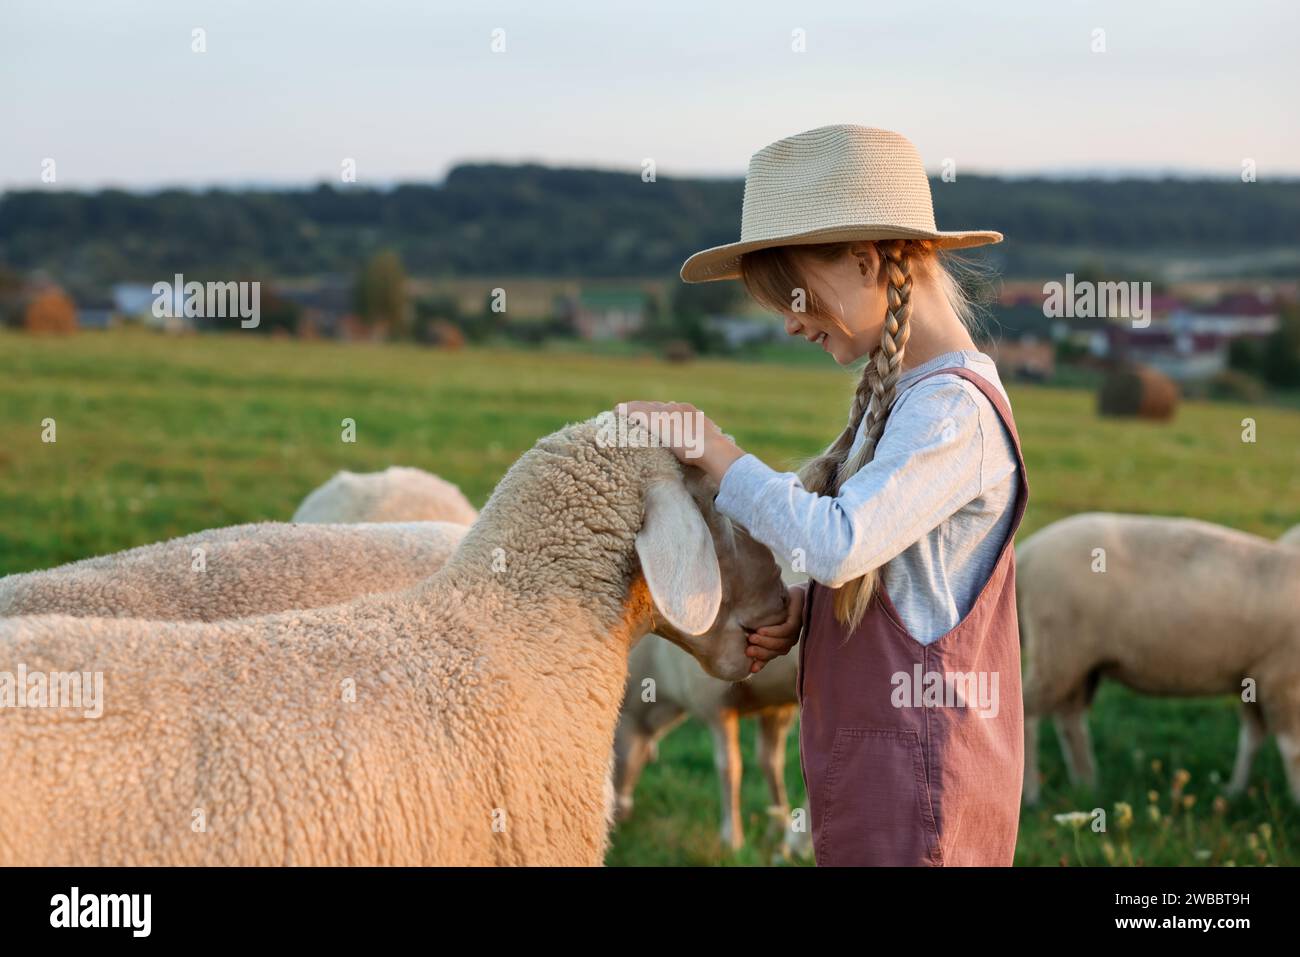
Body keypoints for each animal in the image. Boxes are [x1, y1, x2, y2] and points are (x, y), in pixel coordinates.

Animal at [613, 634, 809, 856]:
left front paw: (732, 840)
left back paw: (796, 845)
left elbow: (729, 768)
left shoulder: (713, 701)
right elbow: (770, 761)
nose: (618, 816)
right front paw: (778, 825)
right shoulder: (775, 709)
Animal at [1018, 511, 1300, 806]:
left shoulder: (1257, 676)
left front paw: (1234, 791)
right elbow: (1292, 748)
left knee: (1069, 719)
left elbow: (1251, 738)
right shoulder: (1282, 680)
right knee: (1028, 713)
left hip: (1079, 661)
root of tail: (1027, 553)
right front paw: (1296, 799)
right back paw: (1032, 794)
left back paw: (1086, 786)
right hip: (1058, 651)